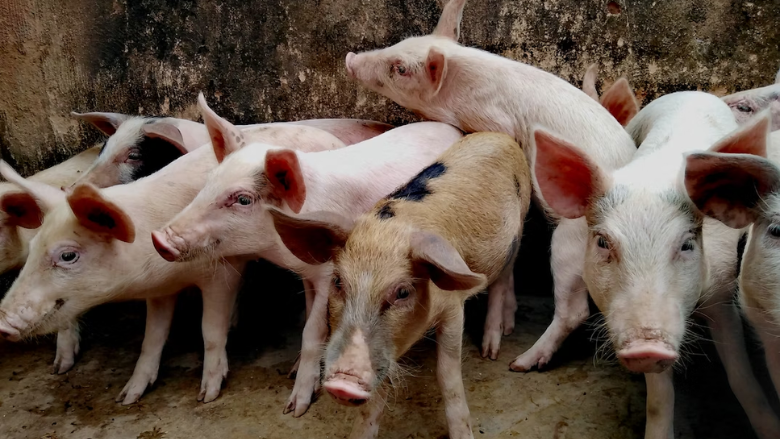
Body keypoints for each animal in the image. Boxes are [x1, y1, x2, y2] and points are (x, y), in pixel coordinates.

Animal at [0, 93, 351, 405]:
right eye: (33, 249)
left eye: (68, 255)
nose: (2, 325)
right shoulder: (159, 289)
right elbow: (152, 337)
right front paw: (128, 397)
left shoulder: (220, 273)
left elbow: (210, 330)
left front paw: (207, 395)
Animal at [151, 120, 464, 417]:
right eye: (208, 183)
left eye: (243, 199)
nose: (159, 239)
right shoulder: (307, 274)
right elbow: (311, 316)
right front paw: (293, 371)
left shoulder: (329, 274)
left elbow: (312, 331)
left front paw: (295, 407)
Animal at [269, 132, 531, 439]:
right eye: (337, 281)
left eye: (403, 292)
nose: (343, 383)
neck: (389, 231)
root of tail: (498, 136)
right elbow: (377, 397)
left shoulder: (453, 309)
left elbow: (447, 374)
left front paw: (463, 434)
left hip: (518, 231)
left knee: (502, 281)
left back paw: (492, 351)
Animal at [344, 0, 638, 364]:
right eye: (400, 44)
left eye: (399, 68)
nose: (350, 58)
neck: (459, 93)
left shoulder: (495, 121)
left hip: (571, 238)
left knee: (574, 310)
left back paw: (520, 363)